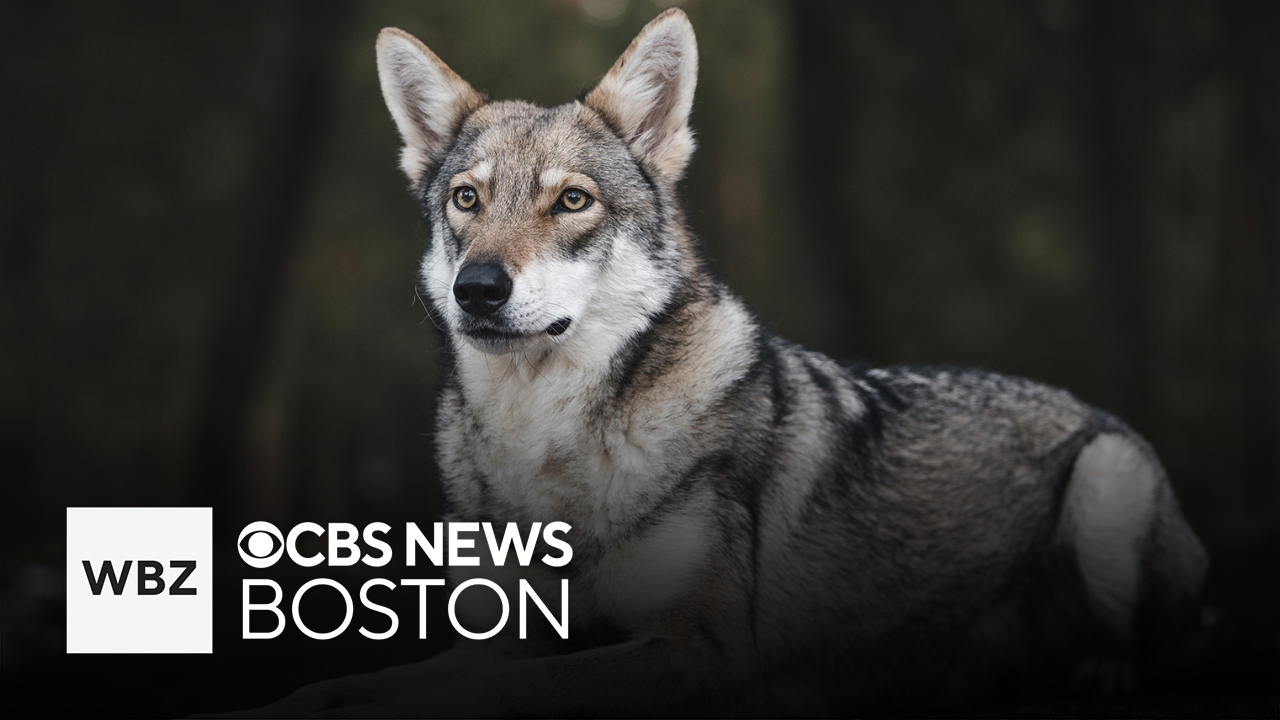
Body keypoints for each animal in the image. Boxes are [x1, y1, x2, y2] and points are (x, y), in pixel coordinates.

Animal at [235, 8, 1208, 717]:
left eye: (572, 202)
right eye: (467, 201)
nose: (477, 288)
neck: (548, 448)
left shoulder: (702, 648)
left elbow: (504, 685)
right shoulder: (517, 631)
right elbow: (358, 682)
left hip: (1107, 479)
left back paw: (1105, 672)